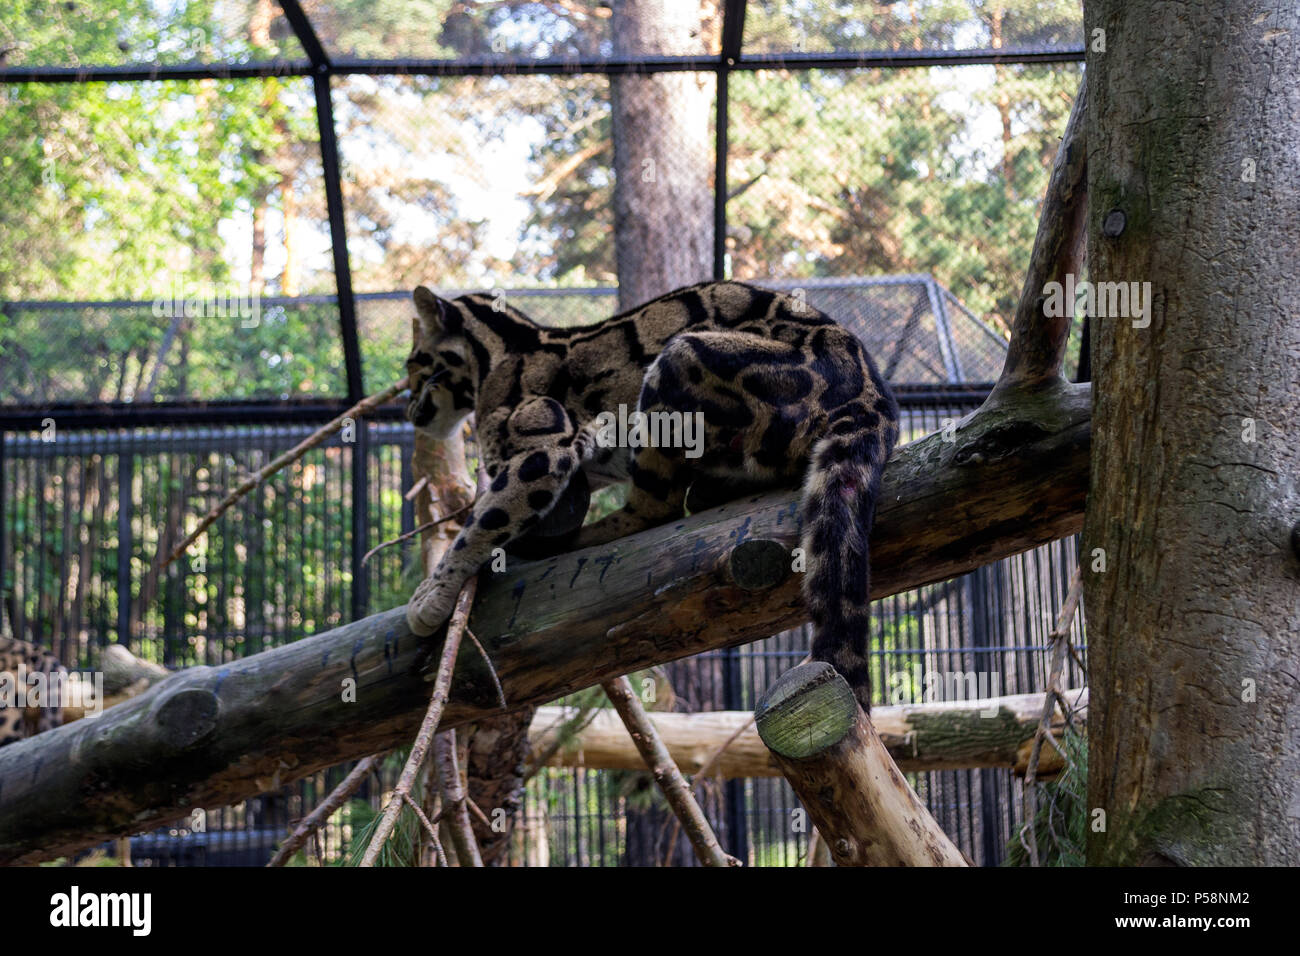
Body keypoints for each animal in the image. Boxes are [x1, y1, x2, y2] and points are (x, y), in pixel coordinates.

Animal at [403, 280, 899, 711]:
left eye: (413, 365)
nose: (408, 409)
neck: (495, 357)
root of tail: (875, 398)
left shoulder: (544, 449)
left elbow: (485, 520)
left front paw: (430, 595)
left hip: (680, 357)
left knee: (655, 508)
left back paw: (593, 533)